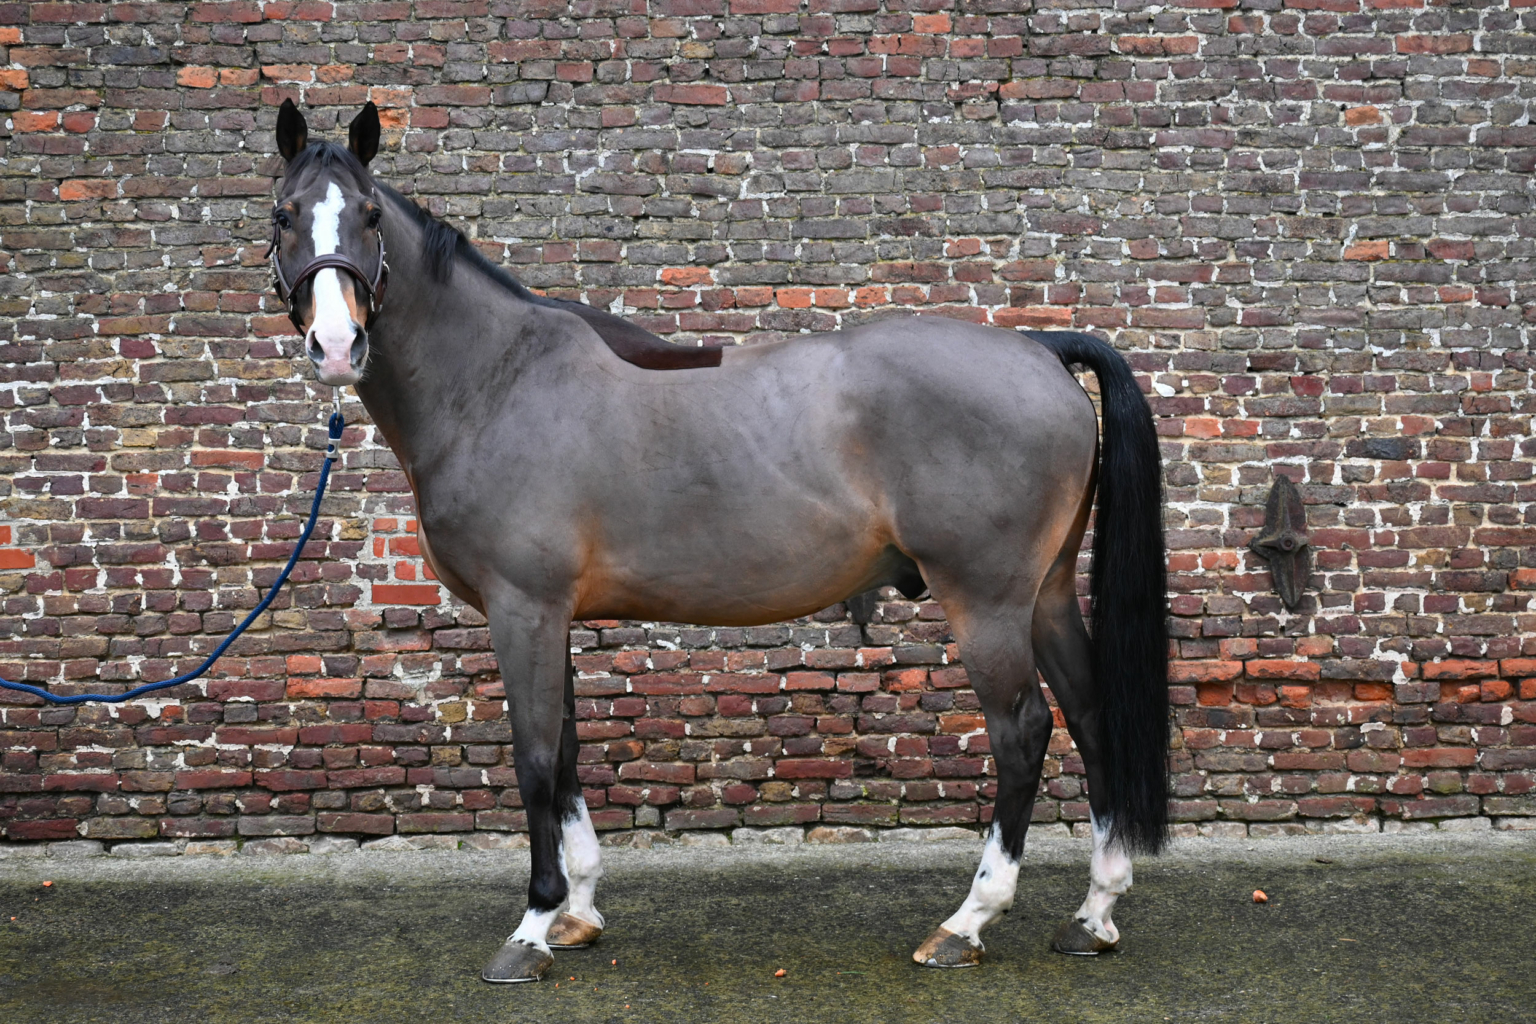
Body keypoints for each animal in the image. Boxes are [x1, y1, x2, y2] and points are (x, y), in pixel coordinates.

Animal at [267, 101, 1170, 983]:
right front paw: (577, 911)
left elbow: (533, 760)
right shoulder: (551, 615)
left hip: (986, 601)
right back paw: (1095, 912)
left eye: (370, 215)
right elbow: (566, 752)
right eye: (283, 215)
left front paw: (531, 927)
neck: (499, 380)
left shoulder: (522, 609)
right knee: (1092, 713)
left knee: (1023, 733)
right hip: (1044, 594)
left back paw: (968, 921)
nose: (338, 346)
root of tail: (1040, 349)